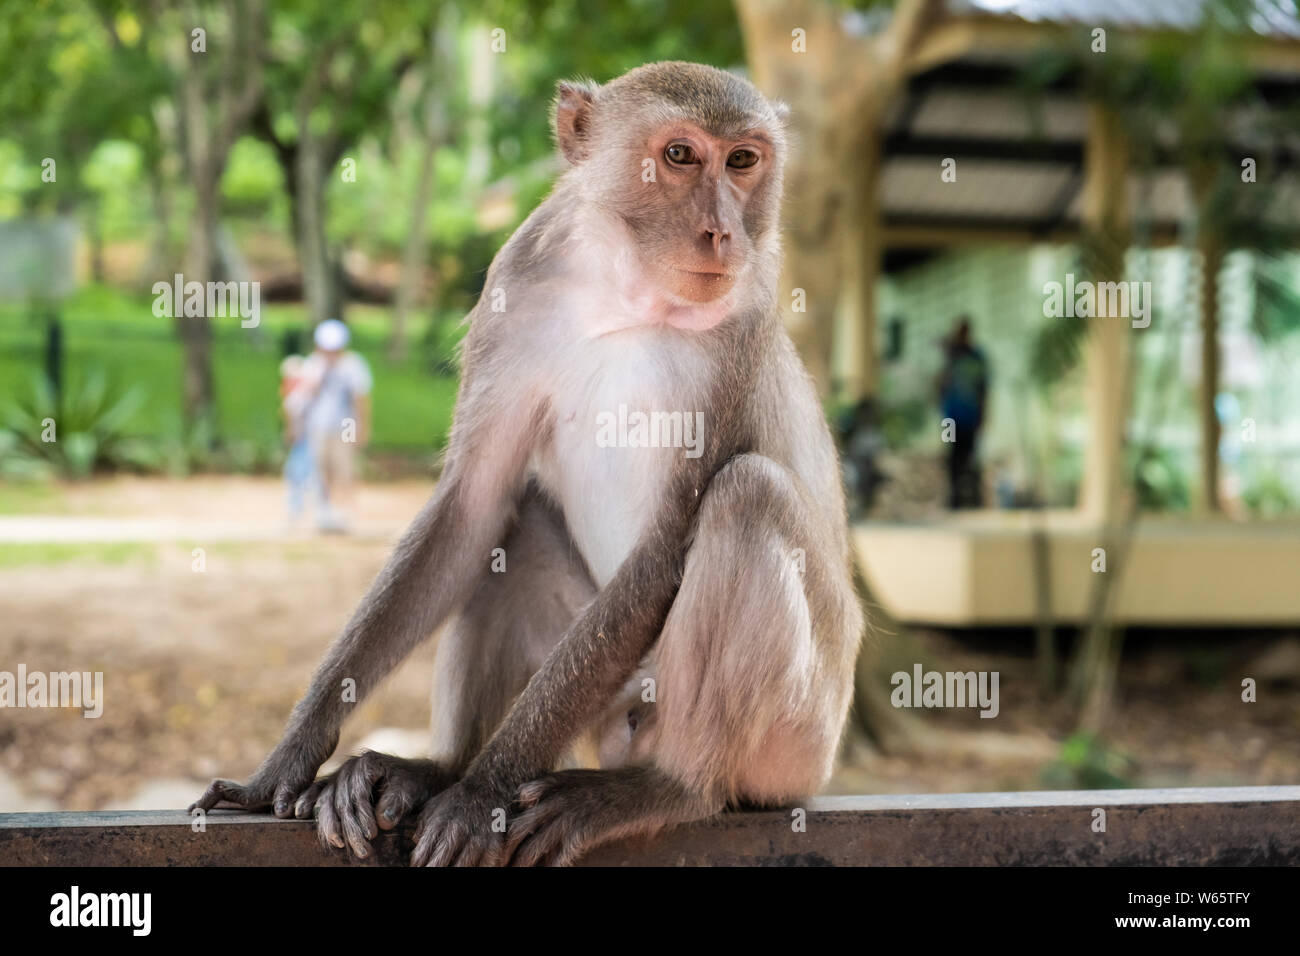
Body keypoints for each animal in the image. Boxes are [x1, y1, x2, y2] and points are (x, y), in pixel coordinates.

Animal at [192, 61, 865, 867]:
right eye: (680, 156)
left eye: (742, 161)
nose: (723, 231)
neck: (628, 293)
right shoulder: (519, 278)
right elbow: (473, 505)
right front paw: (285, 764)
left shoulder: (745, 323)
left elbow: (667, 545)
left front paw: (481, 794)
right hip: (611, 701)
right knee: (516, 525)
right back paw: (433, 768)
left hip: (795, 739)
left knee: (748, 493)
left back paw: (666, 788)